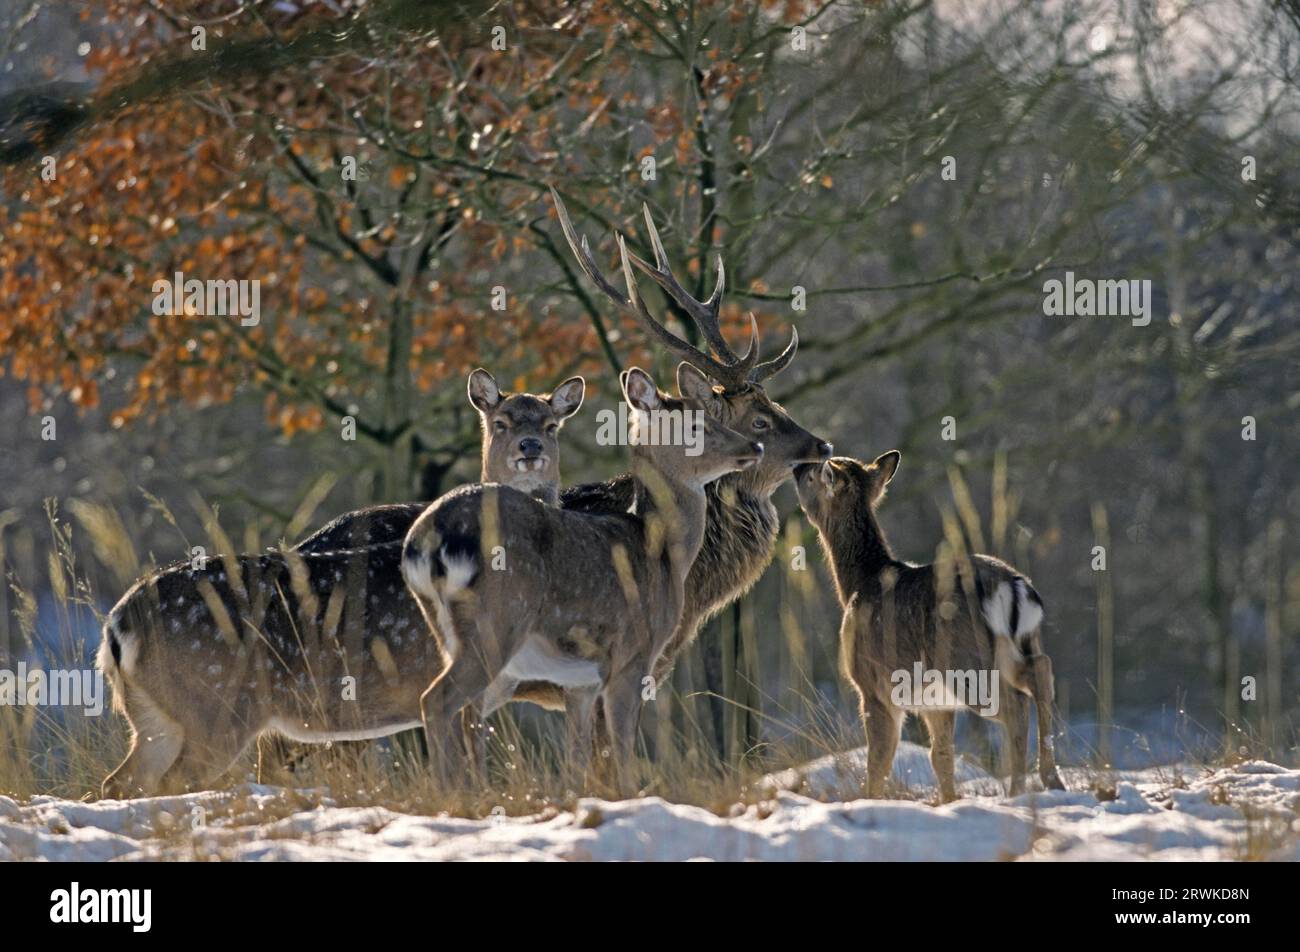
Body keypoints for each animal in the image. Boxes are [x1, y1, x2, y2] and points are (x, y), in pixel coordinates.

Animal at [97, 370, 584, 798]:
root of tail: (117, 625)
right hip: (217, 707)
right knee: (170, 782)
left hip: (156, 716)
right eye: (500, 422)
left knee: (119, 782)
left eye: (551, 424)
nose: (530, 447)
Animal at [400, 362, 765, 787]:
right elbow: (621, 755)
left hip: (443, 628)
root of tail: (425, 541)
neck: (661, 552)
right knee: (437, 701)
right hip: (497, 621)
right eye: (695, 425)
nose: (753, 447)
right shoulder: (632, 654)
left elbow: (576, 763)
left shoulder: (581, 682)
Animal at [792, 452, 1066, 802]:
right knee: (1041, 670)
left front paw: (870, 799)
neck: (858, 584)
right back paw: (1051, 779)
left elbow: (878, 760)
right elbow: (941, 758)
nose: (796, 466)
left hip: (963, 660)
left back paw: (1018, 788)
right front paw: (949, 801)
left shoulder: (871, 685)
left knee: (1016, 702)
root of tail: (1013, 587)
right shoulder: (935, 702)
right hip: (1021, 643)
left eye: (812, 474)